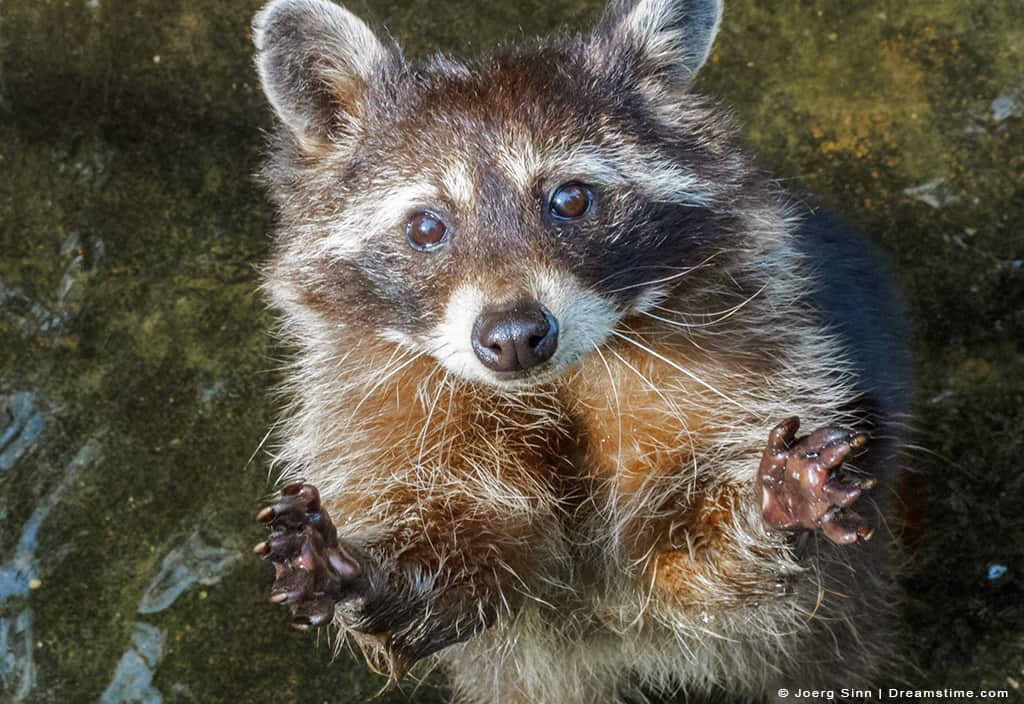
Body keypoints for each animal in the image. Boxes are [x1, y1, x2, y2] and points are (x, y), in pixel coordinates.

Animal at [251, 0, 911, 702]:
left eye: (569, 198)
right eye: (426, 227)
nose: (514, 336)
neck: (554, 383)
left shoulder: (755, 357)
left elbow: (700, 556)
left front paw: (764, 506)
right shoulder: (381, 413)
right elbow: (465, 567)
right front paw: (363, 568)